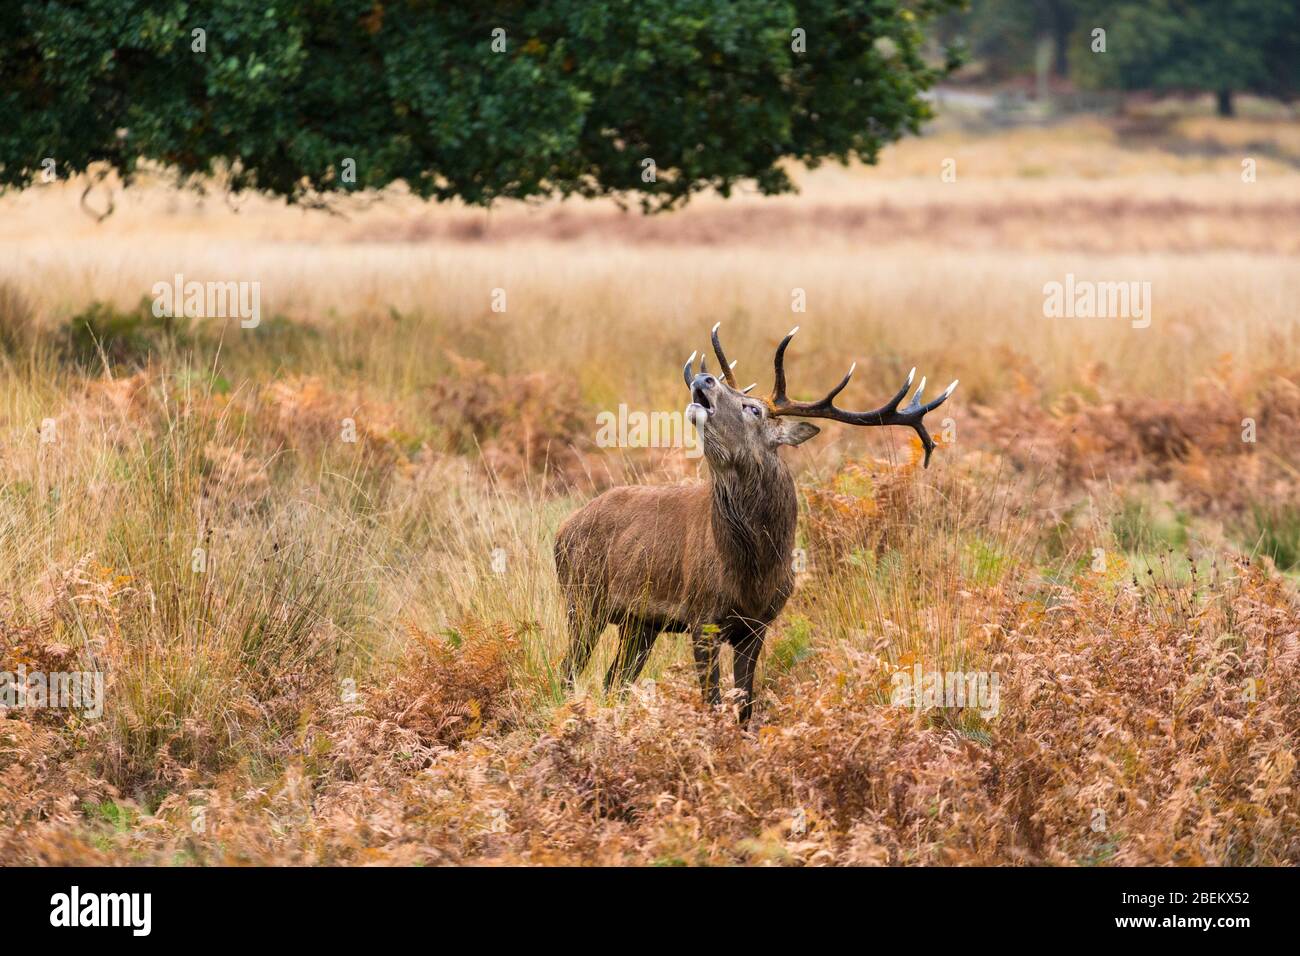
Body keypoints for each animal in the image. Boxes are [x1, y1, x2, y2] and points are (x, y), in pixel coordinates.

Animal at [553, 325, 957, 725]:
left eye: (753, 408)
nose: (704, 378)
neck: (751, 570)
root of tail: (562, 528)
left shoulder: (759, 623)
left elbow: (745, 703)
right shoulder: (702, 616)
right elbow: (713, 701)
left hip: (638, 622)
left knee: (613, 681)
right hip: (582, 598)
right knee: (568, 670)